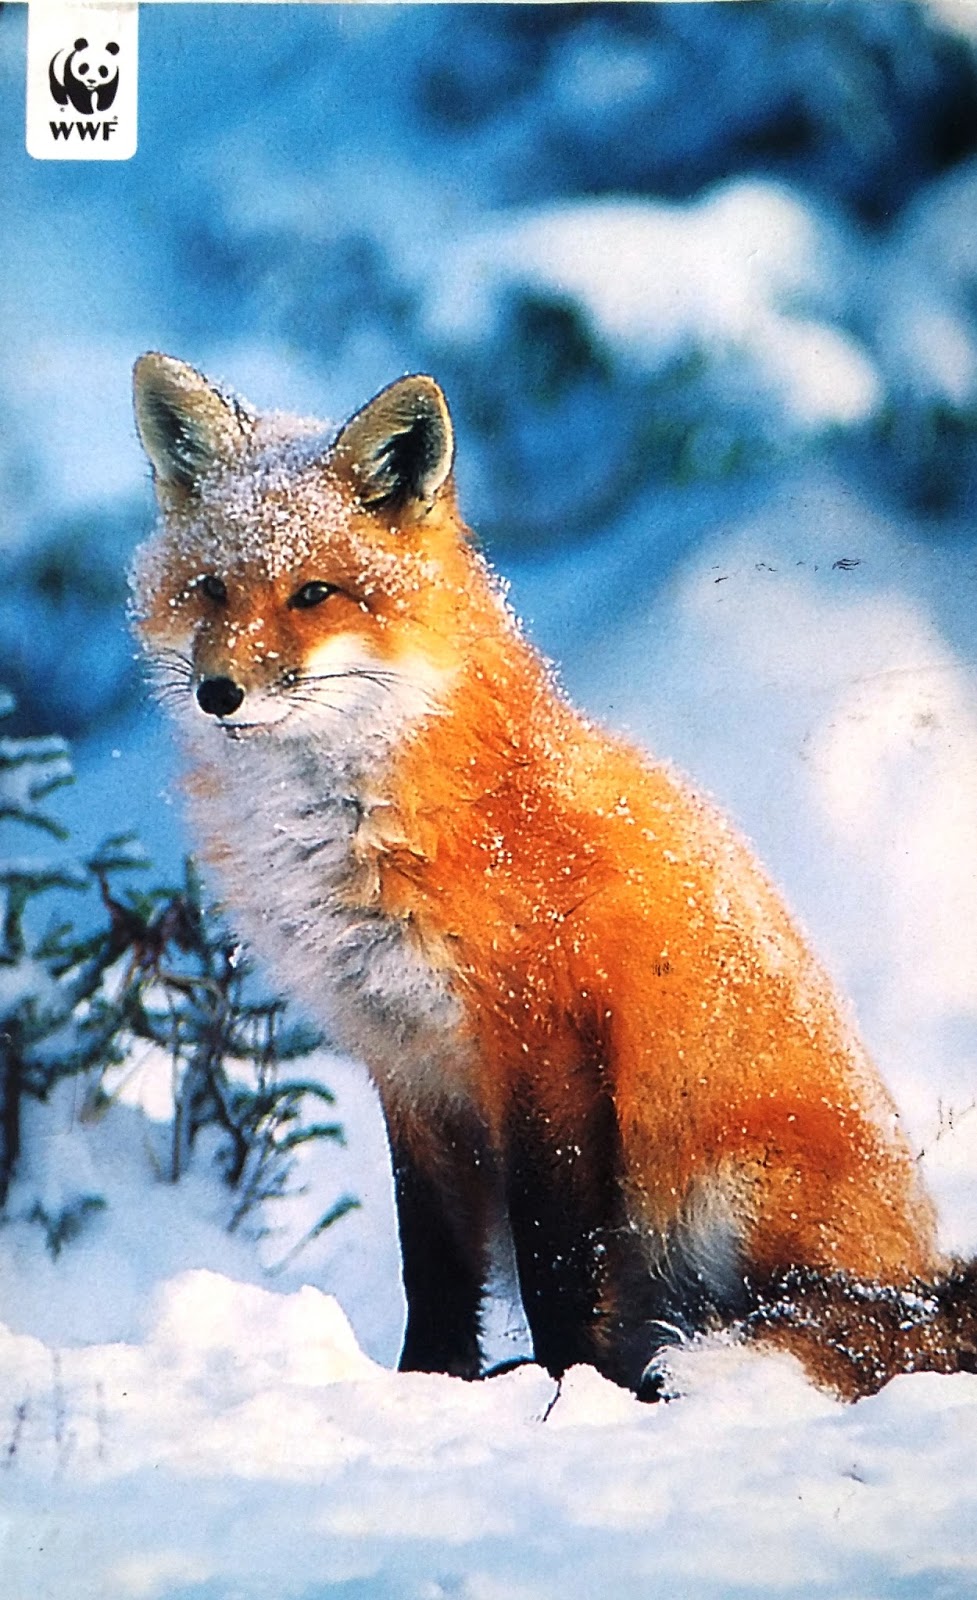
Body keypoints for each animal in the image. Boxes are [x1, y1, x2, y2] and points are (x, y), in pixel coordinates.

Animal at [130, 352, 977, 1400]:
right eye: (210, 589)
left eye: (314, 593)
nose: (220, 693)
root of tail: (922, 1281)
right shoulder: (409, 1064)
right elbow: (435, 1261)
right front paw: (431, 1384)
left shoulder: (544, 1044)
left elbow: (555, 1257)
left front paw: (567, 1391)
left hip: (729, 1194)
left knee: (823, 1331)